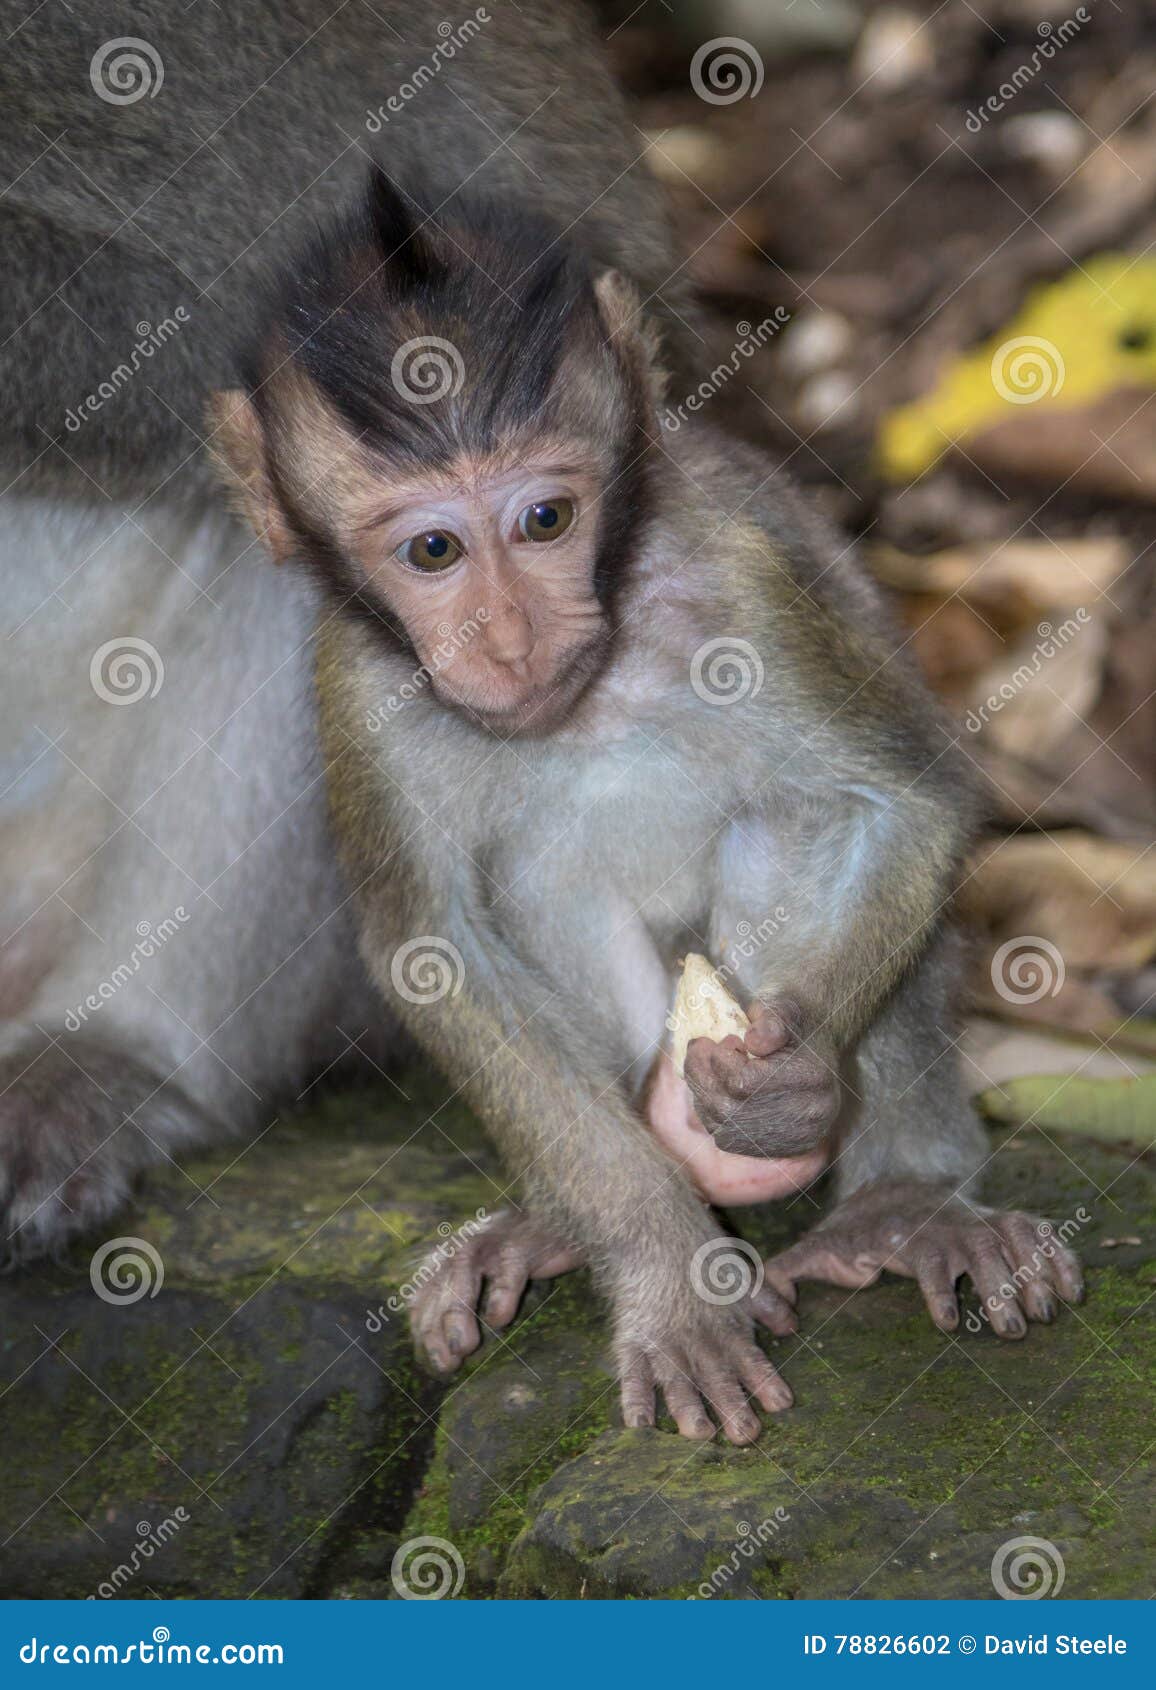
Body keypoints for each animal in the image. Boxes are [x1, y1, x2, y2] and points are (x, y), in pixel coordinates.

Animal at [209, 170, 1084, 1447]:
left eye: (545, 520)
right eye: (433, 549)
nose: (508, 636)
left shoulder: (738, 579)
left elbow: (902, 799)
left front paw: (791, 1083)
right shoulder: (355, 690)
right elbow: (434, 945)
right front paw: (667, 1271)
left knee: (796, 823)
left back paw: (901, 1204)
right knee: (538, 877)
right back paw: (554, 1223)